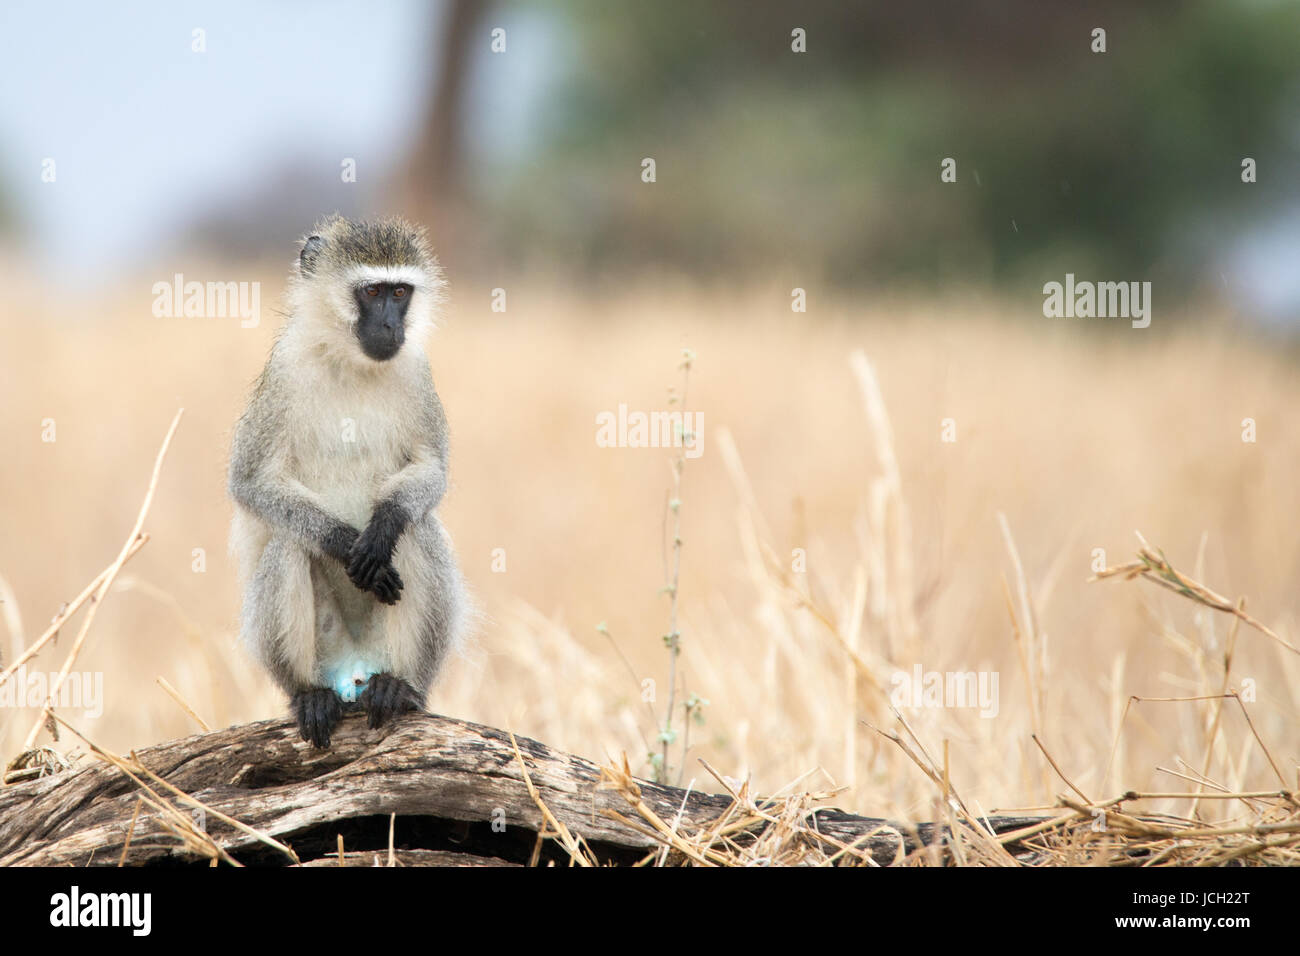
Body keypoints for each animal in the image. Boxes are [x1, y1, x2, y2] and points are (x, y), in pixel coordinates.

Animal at [228, 215, 467, 749]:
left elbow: (432, 471)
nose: (390, 326)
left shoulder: (418, 373)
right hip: (326, 646)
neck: (348, 360)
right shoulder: (283, 373)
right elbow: (250, 481)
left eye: (400, 292)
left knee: (419, 530)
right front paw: (342, 540)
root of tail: (354, 667)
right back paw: (310, 694)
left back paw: (400, 688)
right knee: (289, 543)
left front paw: (381, 528)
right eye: (372, 292)